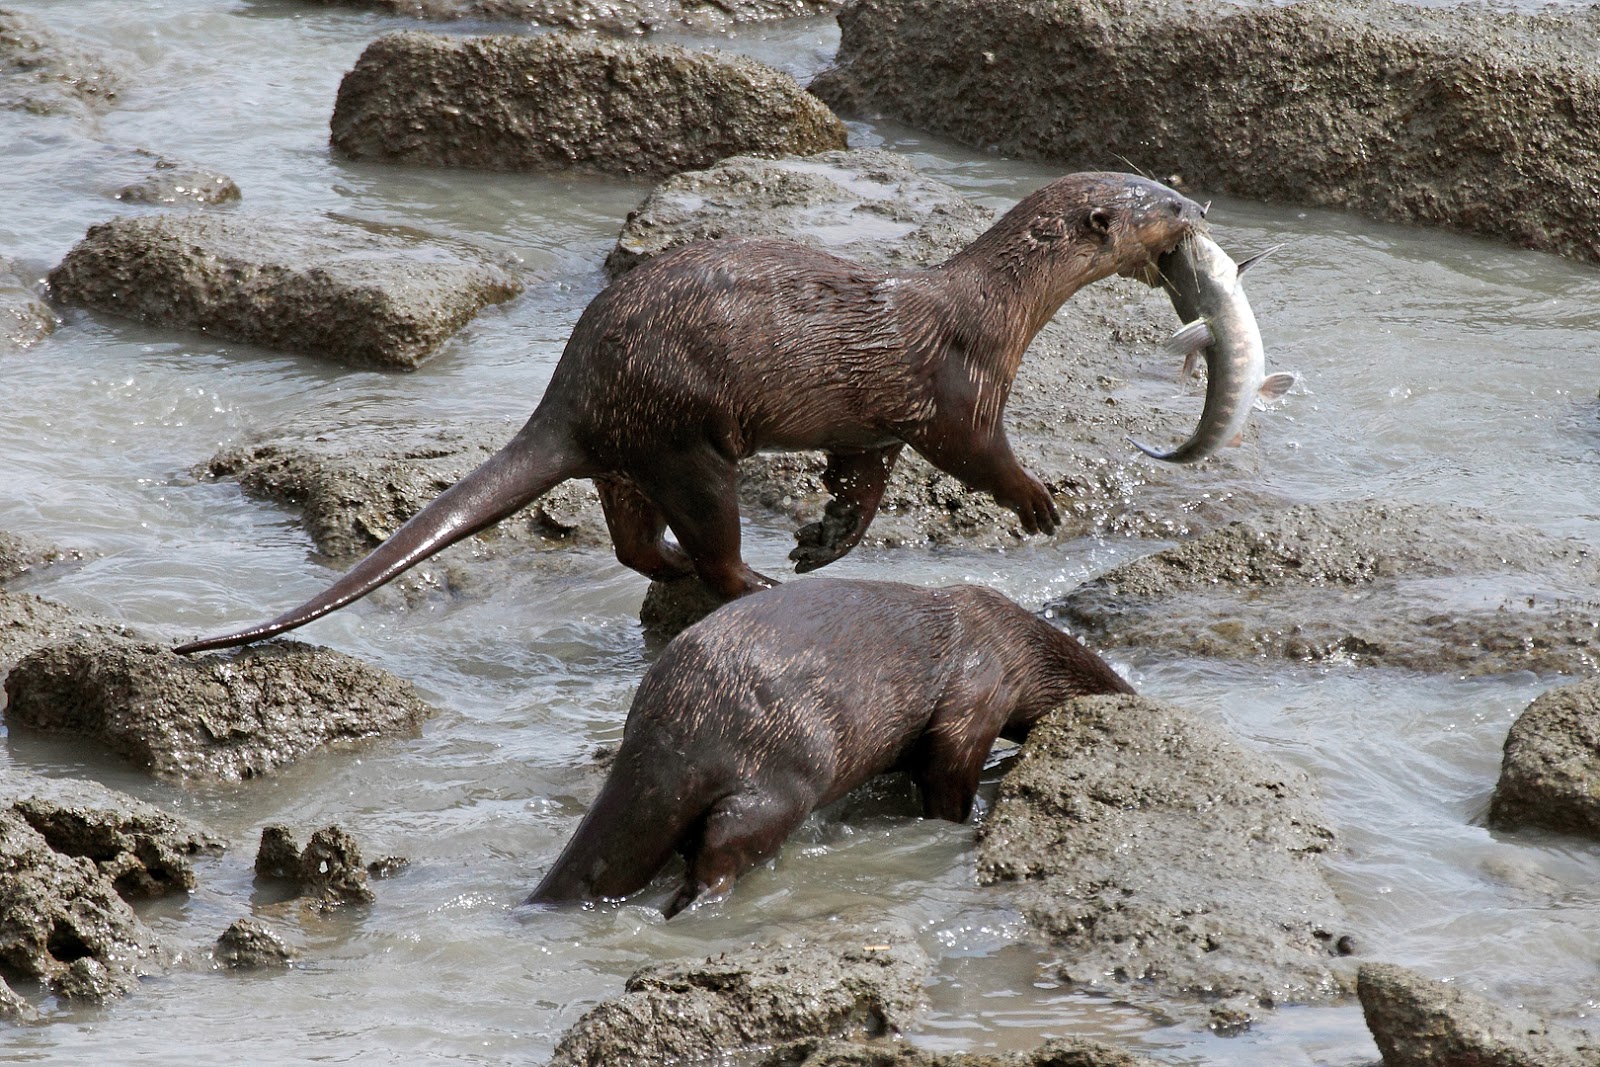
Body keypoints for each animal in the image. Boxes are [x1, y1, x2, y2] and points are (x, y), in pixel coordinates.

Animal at [175, 173, 1206, 655]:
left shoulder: (871, 425)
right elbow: (975, 455)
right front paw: (1038, 501)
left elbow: (861, 482)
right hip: (687, 436)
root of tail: (575, 387)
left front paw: (826, 537)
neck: (995, 311)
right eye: (1156, 200)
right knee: (713, 548)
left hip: (629, 454)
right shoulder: (956, 389)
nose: (1198, 206)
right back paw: (758, 582)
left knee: (635, 541)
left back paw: (687, 563)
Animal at [526, 577, 1135, 916]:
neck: (1017, 649)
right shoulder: (981, 690)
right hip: (785, 771)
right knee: (730, 843)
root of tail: (674, 726)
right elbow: (950, 774)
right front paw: (960, 824)